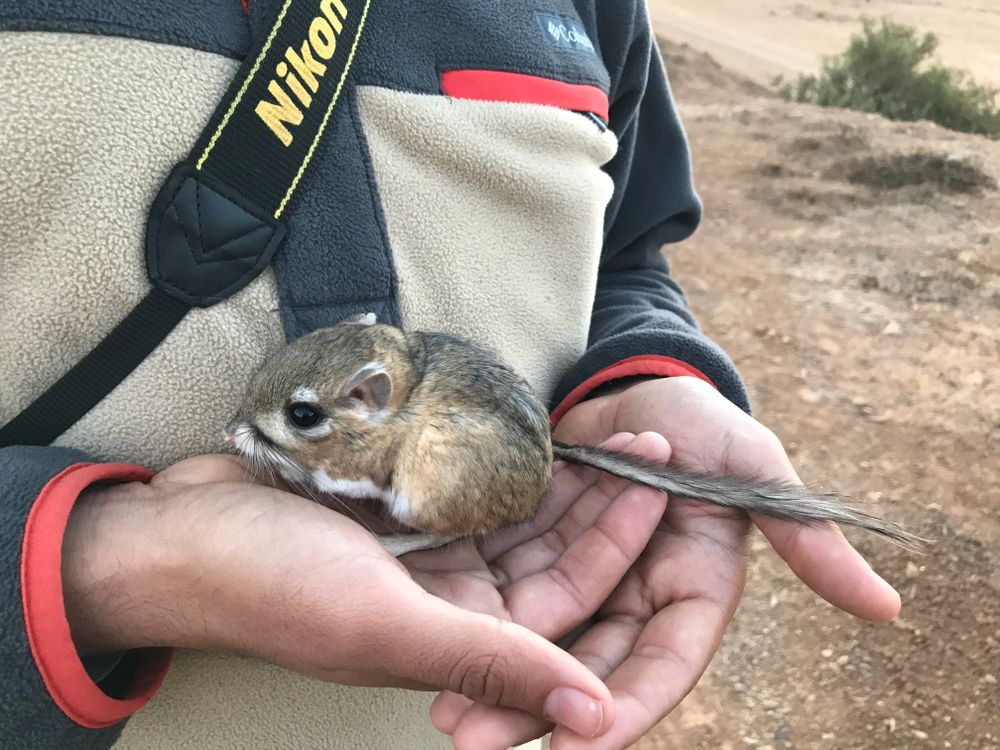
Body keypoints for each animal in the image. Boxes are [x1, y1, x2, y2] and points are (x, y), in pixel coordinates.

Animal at [224, 314, 922, 556]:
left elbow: (334, 473)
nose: (230, 432)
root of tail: (547, 469)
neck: (400, 393)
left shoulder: (366, 465)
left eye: (302, 414)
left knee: (447, 533)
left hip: (427, 486)